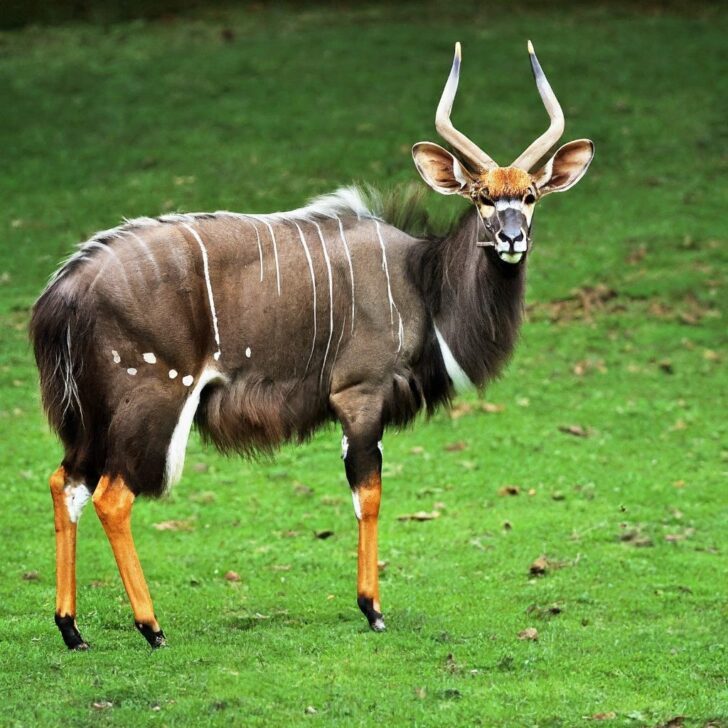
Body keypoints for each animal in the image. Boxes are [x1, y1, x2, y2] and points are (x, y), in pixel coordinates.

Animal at [31, 41, 593, 650]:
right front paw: (372, 609)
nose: (512, 238)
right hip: (150, 402)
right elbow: (368, 494)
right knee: (113, 496)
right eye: (483, 197)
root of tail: (64, 290)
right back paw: (151, 628)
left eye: (530, 195)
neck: (422, 278)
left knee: (66, 483)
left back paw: (72, 629)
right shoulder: (360, 395)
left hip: (91, 418)